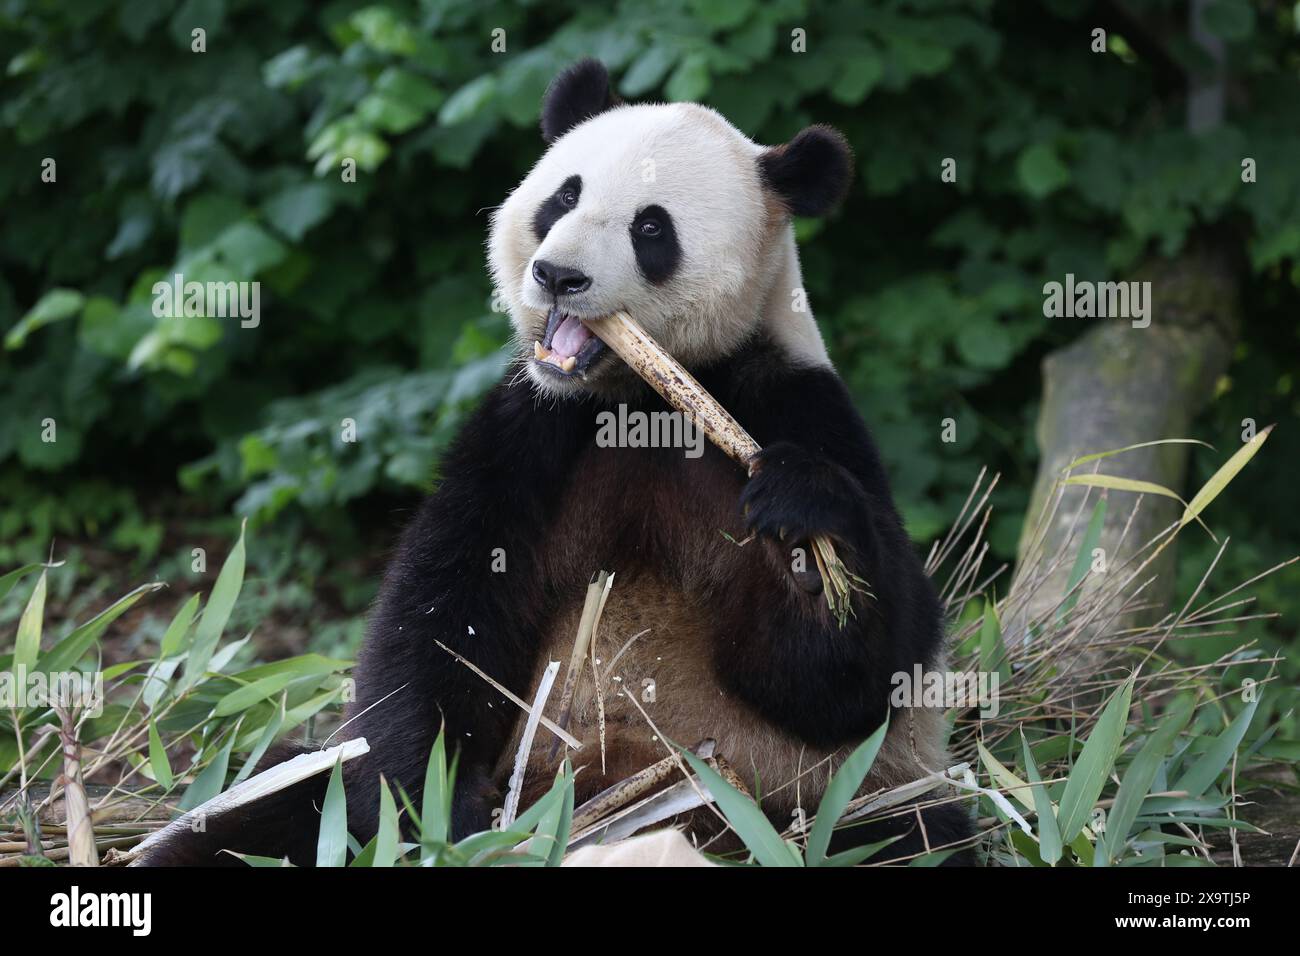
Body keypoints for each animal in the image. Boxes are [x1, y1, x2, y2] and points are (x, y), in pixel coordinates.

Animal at [140, 59, 973, 866]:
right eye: (563, 196)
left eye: (651, 227)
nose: (558, 275)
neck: (638, 399)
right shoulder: (529, 429)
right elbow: (437, 626)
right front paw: (438, 818)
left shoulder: (788, 401)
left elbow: (845, 679)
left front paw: (804, 531)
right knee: (269, 804)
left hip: (805, 806)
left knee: (914, 833)